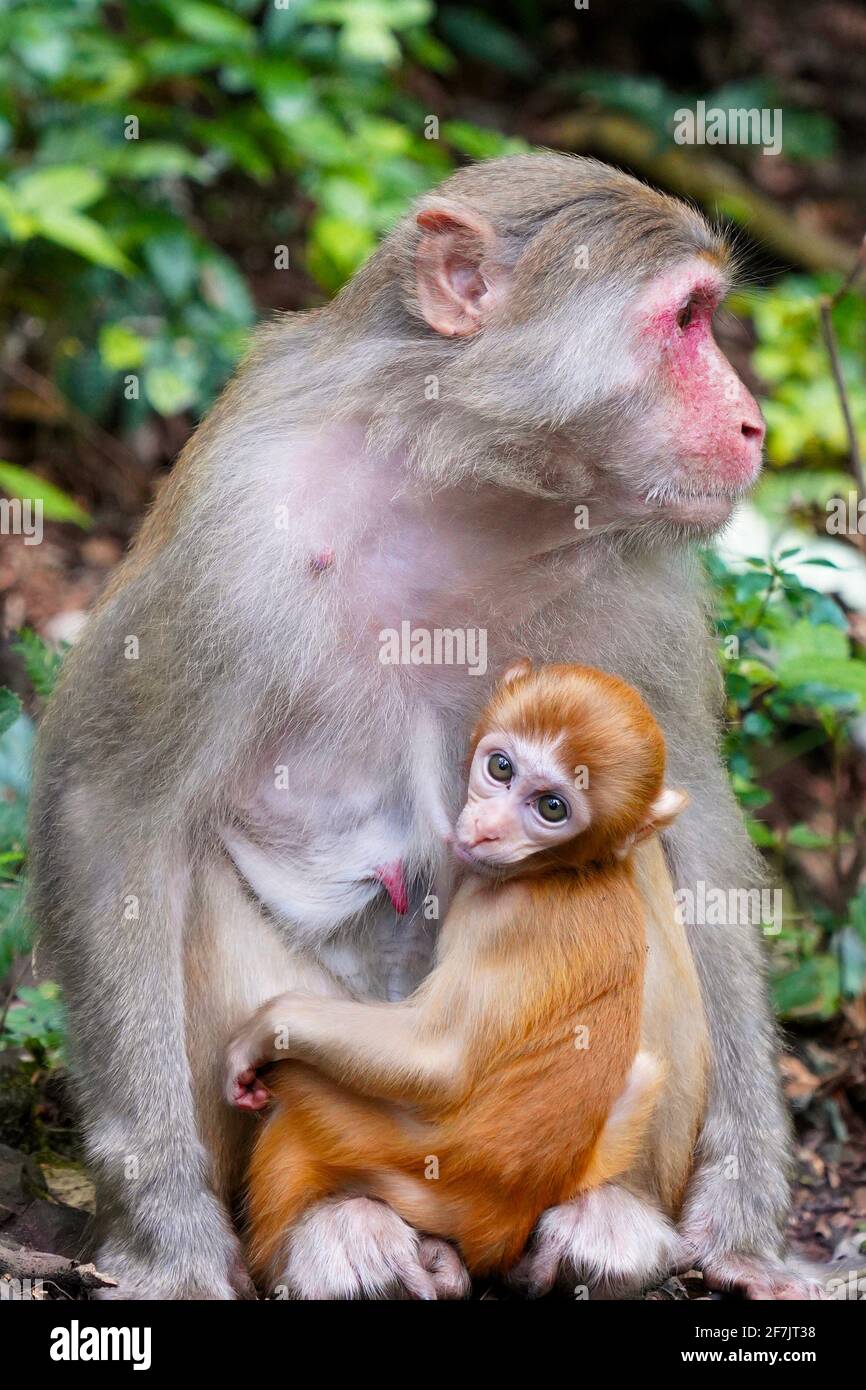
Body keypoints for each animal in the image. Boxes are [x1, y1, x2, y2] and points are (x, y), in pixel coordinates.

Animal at [227, 660, 691, 1289]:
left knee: (304, 1091)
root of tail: (504, 1221)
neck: (568, 872)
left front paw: (262, 1032)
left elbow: (437, 1059)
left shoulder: (501, 917)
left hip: (400, 1162)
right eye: (501, 768)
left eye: (552, 808)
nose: (488, 827)